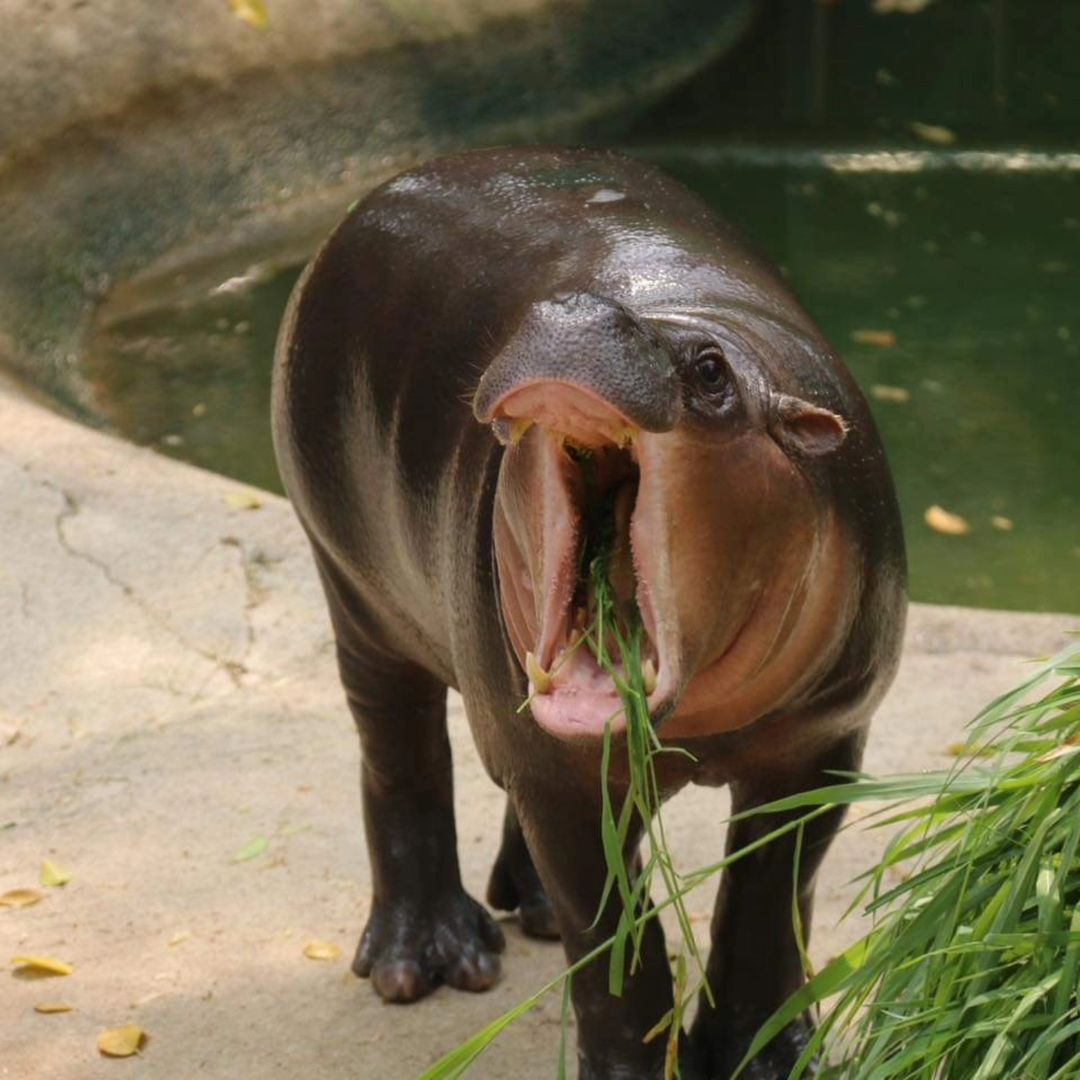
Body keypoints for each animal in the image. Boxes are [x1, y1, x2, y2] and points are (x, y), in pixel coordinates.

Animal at [271, 147, 906, 1079]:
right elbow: (613, 947)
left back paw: (524, 908)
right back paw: (426, 962)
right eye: (540, 311)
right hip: (353, 589)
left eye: (711, 373)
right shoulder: (566, 786)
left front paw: (767, 1059)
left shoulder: (823, 741)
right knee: (400, 754)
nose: (570, 308)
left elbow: (767, 905)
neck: (691, 314)